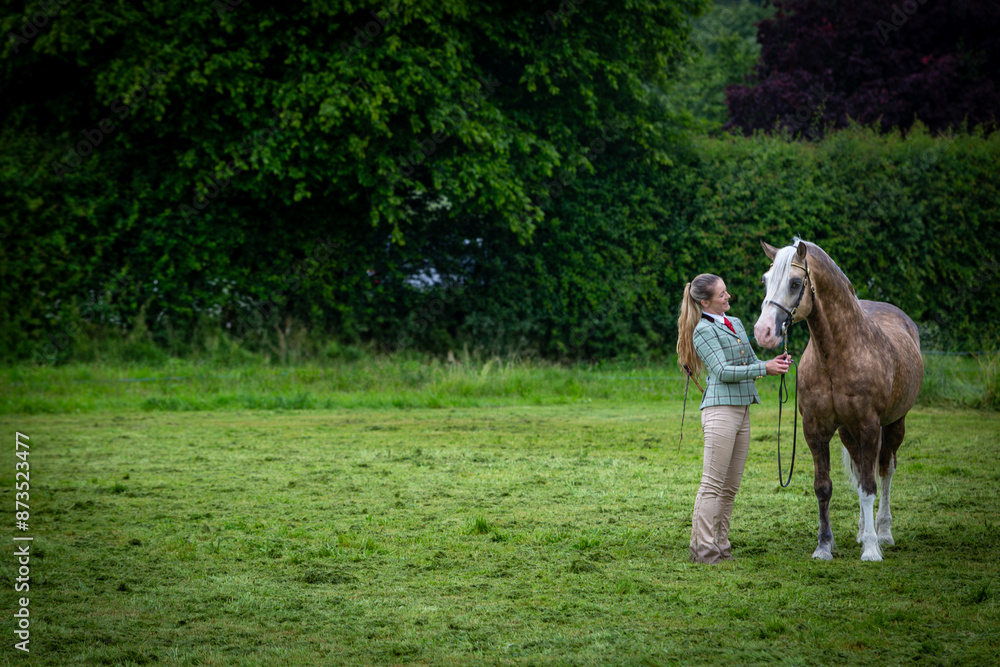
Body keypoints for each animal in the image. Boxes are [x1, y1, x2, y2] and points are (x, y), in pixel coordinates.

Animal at [753, 239, 924, 561]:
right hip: (848, 433)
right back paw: (861, 531)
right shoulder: (816, 430)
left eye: (795, 283)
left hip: (894, 424)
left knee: (885, 471)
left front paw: (871, 549)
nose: (763, 332)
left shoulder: (869, 427)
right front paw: (824, 546)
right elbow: (824, 487)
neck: (835, 355)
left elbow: (869, 486)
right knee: (859, 470)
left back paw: (882, 532)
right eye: (766, 281)